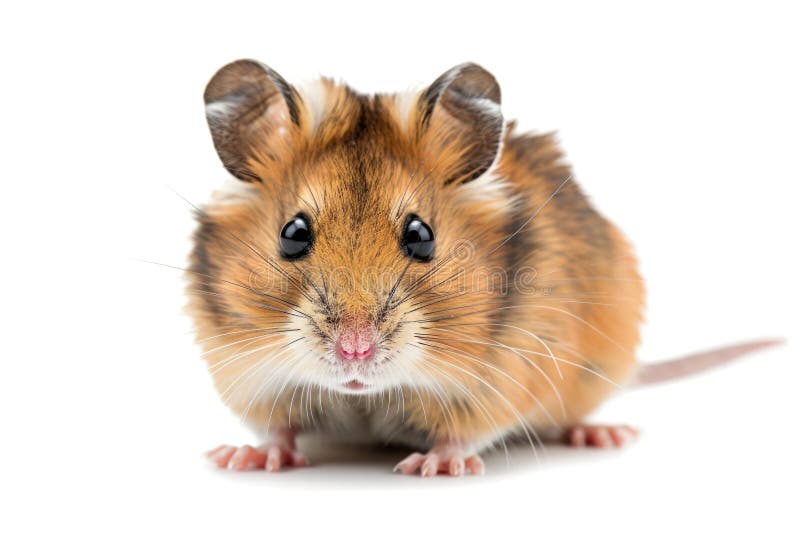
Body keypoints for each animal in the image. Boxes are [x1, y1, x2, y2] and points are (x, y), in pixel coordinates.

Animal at [187, 59, 781, 476]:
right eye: (293, 234)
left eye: (421, 236)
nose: (355, 350)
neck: (369, 395)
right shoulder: (247, 376)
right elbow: (277, 429)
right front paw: (243, 458)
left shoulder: (506, 376)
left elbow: (464, 432)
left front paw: (434, 467)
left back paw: (603, 434)